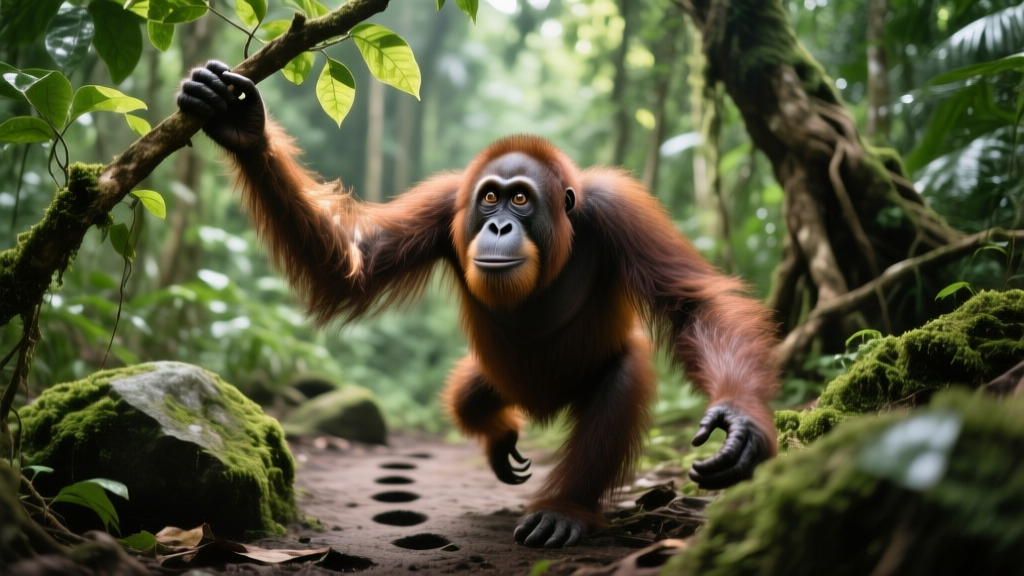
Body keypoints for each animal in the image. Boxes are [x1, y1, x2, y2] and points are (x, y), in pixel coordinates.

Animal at [178, 61, 780, 548]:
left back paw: (563, 511)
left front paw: (739, 420)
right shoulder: (447, 200)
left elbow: (691, 304)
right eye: (490, 196)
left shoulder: (619, 208)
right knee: (468, 396)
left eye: (521, 199)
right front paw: (243, 126)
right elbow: (352, 267)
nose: (498, 226)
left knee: (621, 380)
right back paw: (499, 435)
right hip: (494, 378)